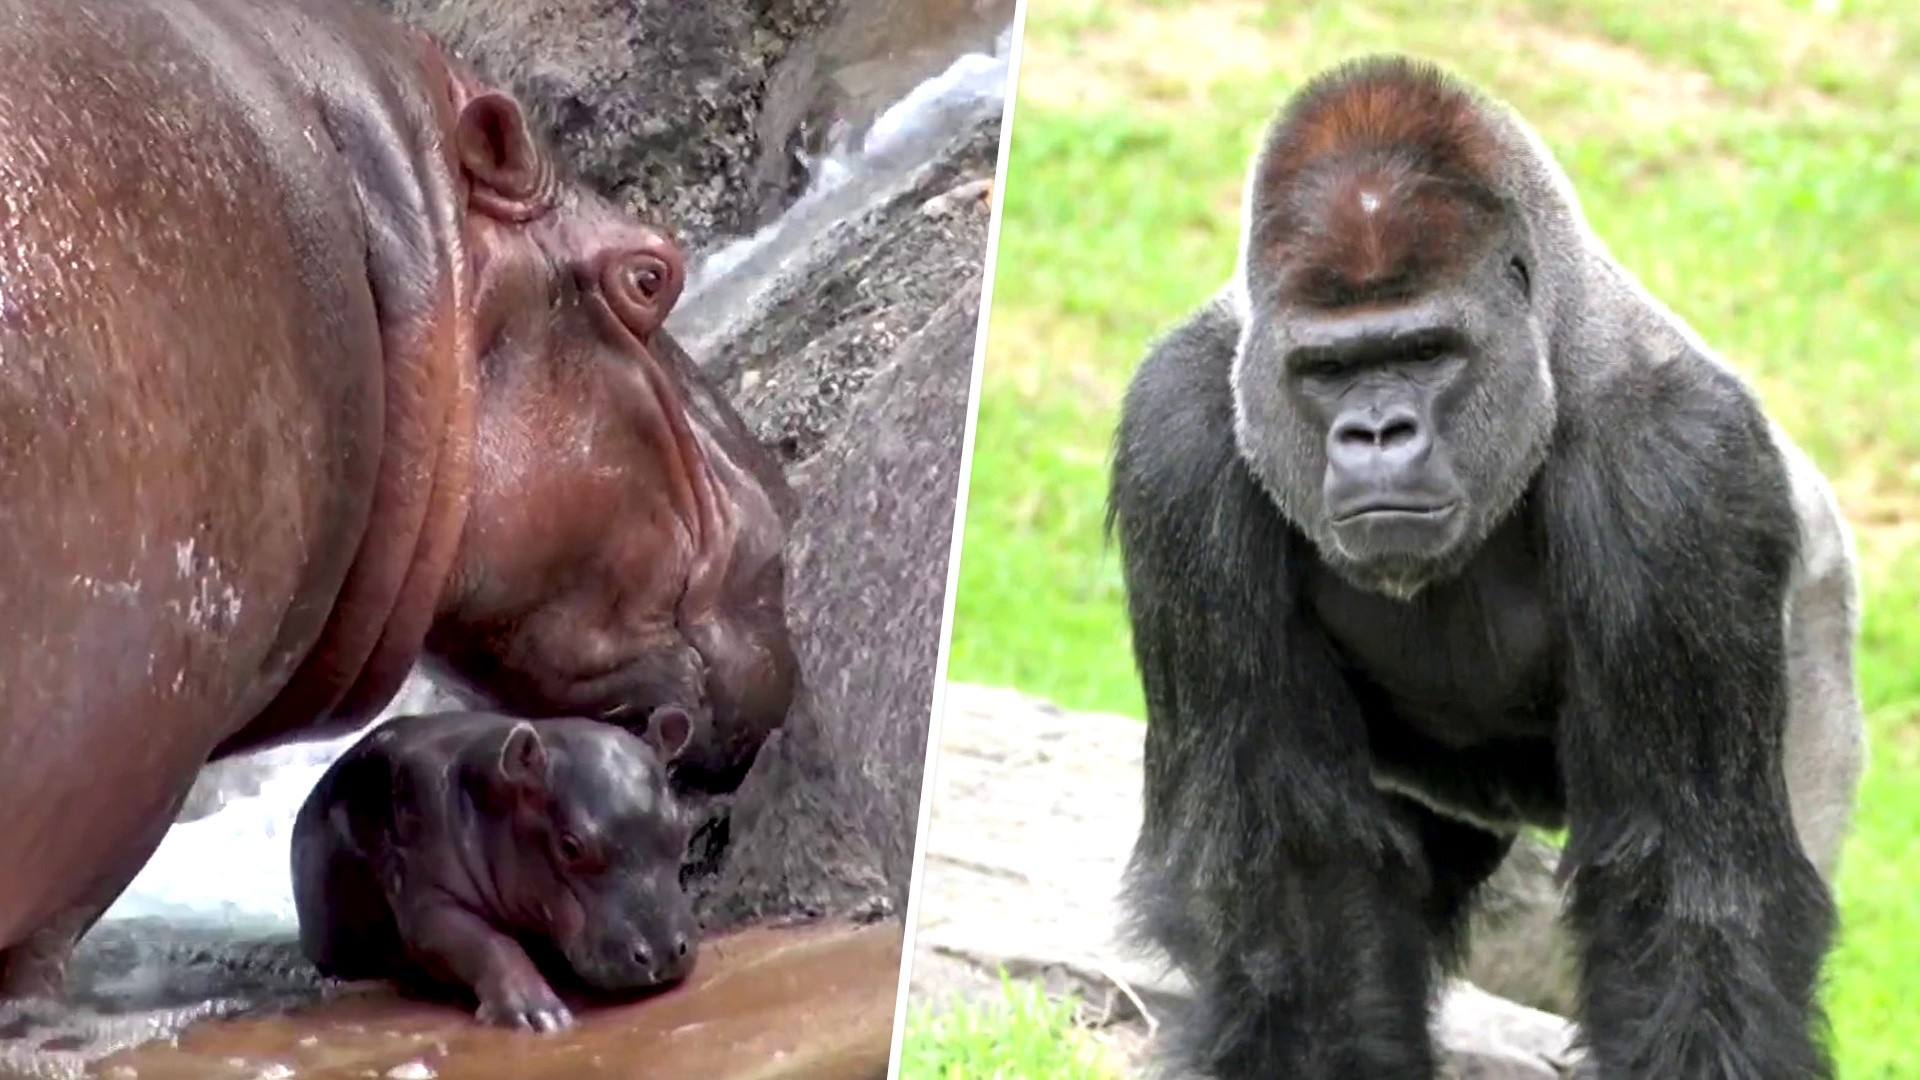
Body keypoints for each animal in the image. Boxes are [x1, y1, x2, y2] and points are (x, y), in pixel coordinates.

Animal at [292, 710, 698, 1030]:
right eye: (570, 846)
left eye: (683, 824)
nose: (663, 952)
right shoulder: (426, 895)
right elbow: (481, 940)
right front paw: (541, 1015)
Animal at [1107, 55, 1863, 1080]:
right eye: (1328, 369)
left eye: (1426, 351)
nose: (1378, 432)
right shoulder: (1178, 438)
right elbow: (1292, 874)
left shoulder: (1677, 473)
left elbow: (1687, 899)